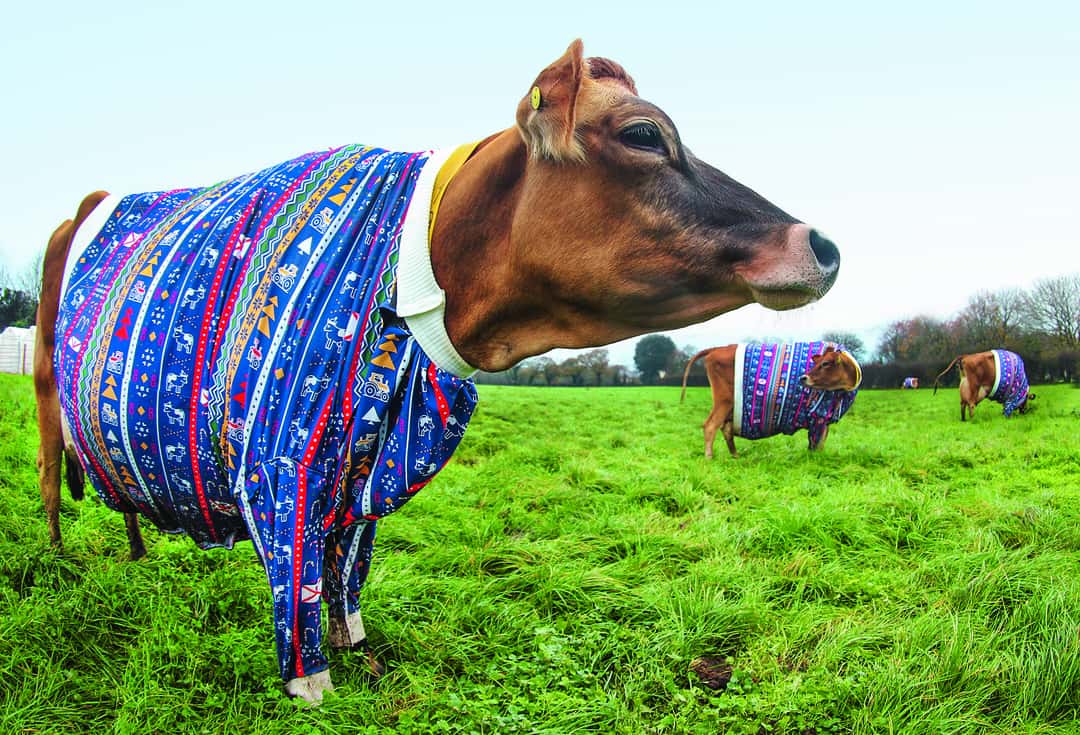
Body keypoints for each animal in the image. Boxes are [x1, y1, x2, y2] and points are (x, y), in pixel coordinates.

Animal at [34, 41, 842, 703]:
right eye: (645, 134)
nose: (824, 245)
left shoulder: (361, 470)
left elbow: (348, 571)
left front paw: (362, 652)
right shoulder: (280, 463)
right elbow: (301, 587)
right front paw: (315, 688)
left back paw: (136, 556)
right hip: (45, 393)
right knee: (47, 477)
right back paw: (58, 567)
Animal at [680, 342, 861, 458]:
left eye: (826, 363)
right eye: (821, 362)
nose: (803, 377)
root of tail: (720, 348)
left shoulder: (825, 420)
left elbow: (820, 442)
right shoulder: (819, 417)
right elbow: (816, 443)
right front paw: (815, 460)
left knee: (726, 429)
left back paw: (736, 456)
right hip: (724, 400)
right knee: (711, 426)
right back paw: (709, 457)